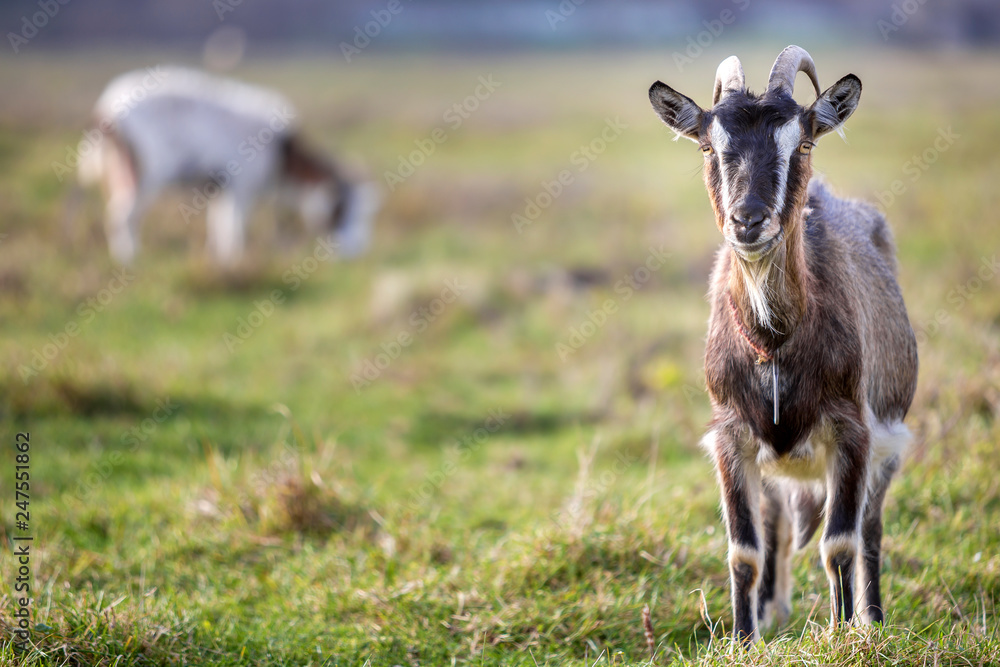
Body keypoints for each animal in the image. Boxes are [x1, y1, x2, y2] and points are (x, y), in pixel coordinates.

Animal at [78, 67, 376, 266]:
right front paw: (236, 262)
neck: (284, 157)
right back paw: (130, 261)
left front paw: (221, 263)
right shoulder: (242, 186)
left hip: (117, 167)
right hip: (145, 172)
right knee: (123, 216)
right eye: (341, 208)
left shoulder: (220, 189)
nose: (357, 251)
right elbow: (236, 229)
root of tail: (108, 107)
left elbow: (220, 227)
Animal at [648, 46, 918, 642]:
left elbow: (839, 544)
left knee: (870, 528)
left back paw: (872, 620)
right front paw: (743, 640)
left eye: (804, 142)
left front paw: (843, 635)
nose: (749, 221)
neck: (774, 340)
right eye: (708, 144)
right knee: (776, 523)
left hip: (887, 442)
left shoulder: (853, 431)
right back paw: (772, 609)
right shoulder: (731, 435)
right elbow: (744, 550)